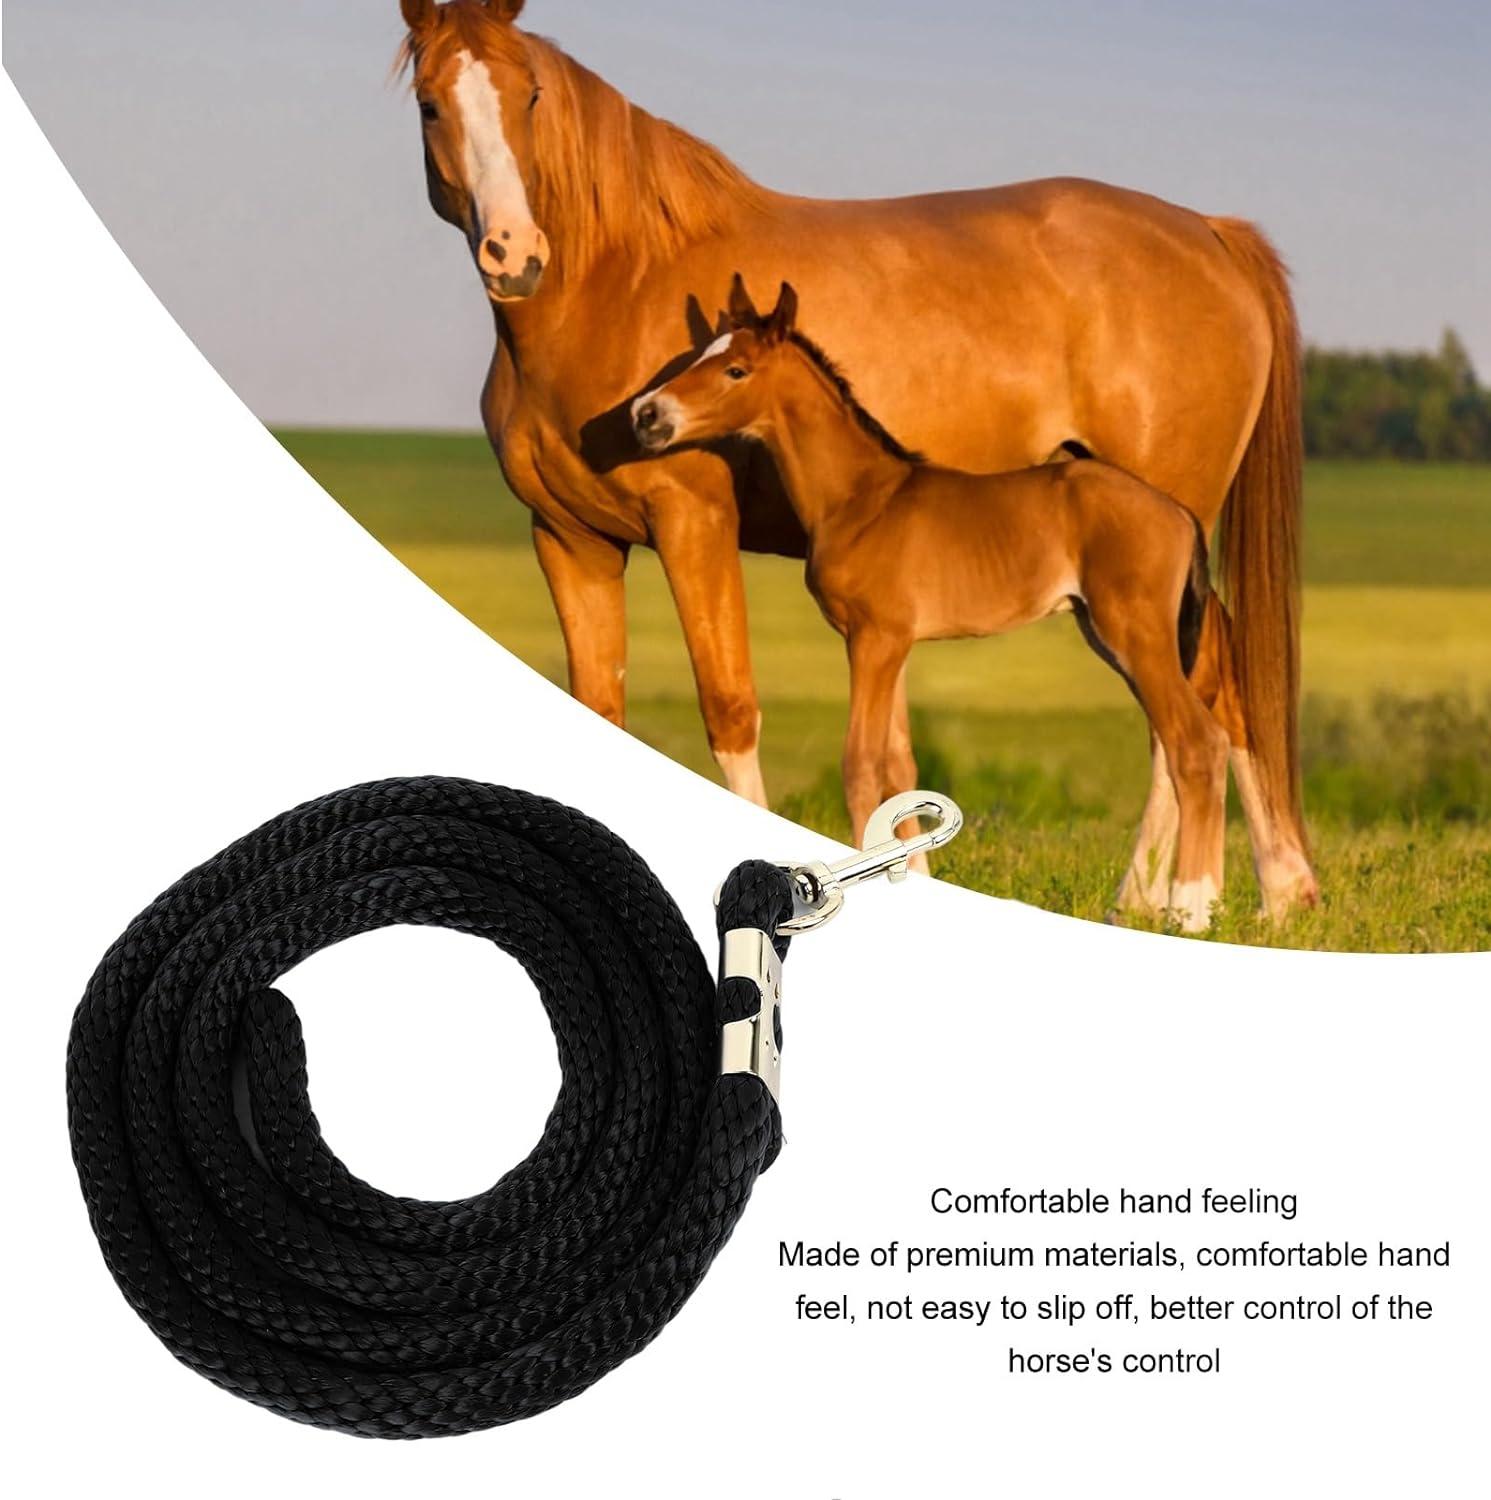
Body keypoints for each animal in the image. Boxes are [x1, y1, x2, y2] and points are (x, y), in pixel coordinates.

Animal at [633, 279, 1257, 930]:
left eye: (736, 369)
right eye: (698, 354)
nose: (646, 415)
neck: (861, 498)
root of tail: (1179, 514)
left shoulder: (874, 639)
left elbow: (861, 765)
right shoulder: (890, 645)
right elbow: (896, 768)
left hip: (1136, 634)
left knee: (1196, 744)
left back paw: (1193, 911)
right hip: (1112, 635)